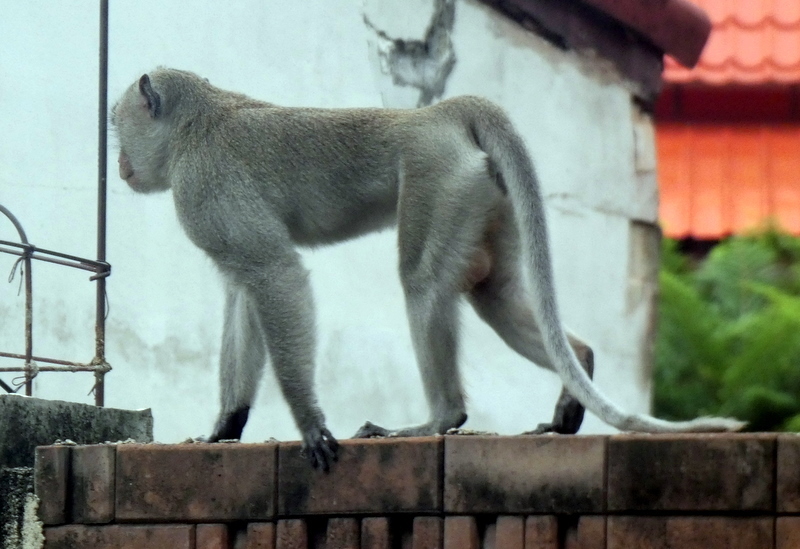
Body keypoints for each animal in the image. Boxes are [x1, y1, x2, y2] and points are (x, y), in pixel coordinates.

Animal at [111, 68, 744, 470]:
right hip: (485, 194)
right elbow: (246, 290)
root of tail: (441, 113)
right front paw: (226, 426)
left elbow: (275, 274)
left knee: (422, 282)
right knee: (492, 292)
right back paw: (577, 370)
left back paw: (438, 419)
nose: (118, 164)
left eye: (118, 126)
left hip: (441, 180)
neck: (194, 127)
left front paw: (311, 424)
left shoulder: (204, 188)